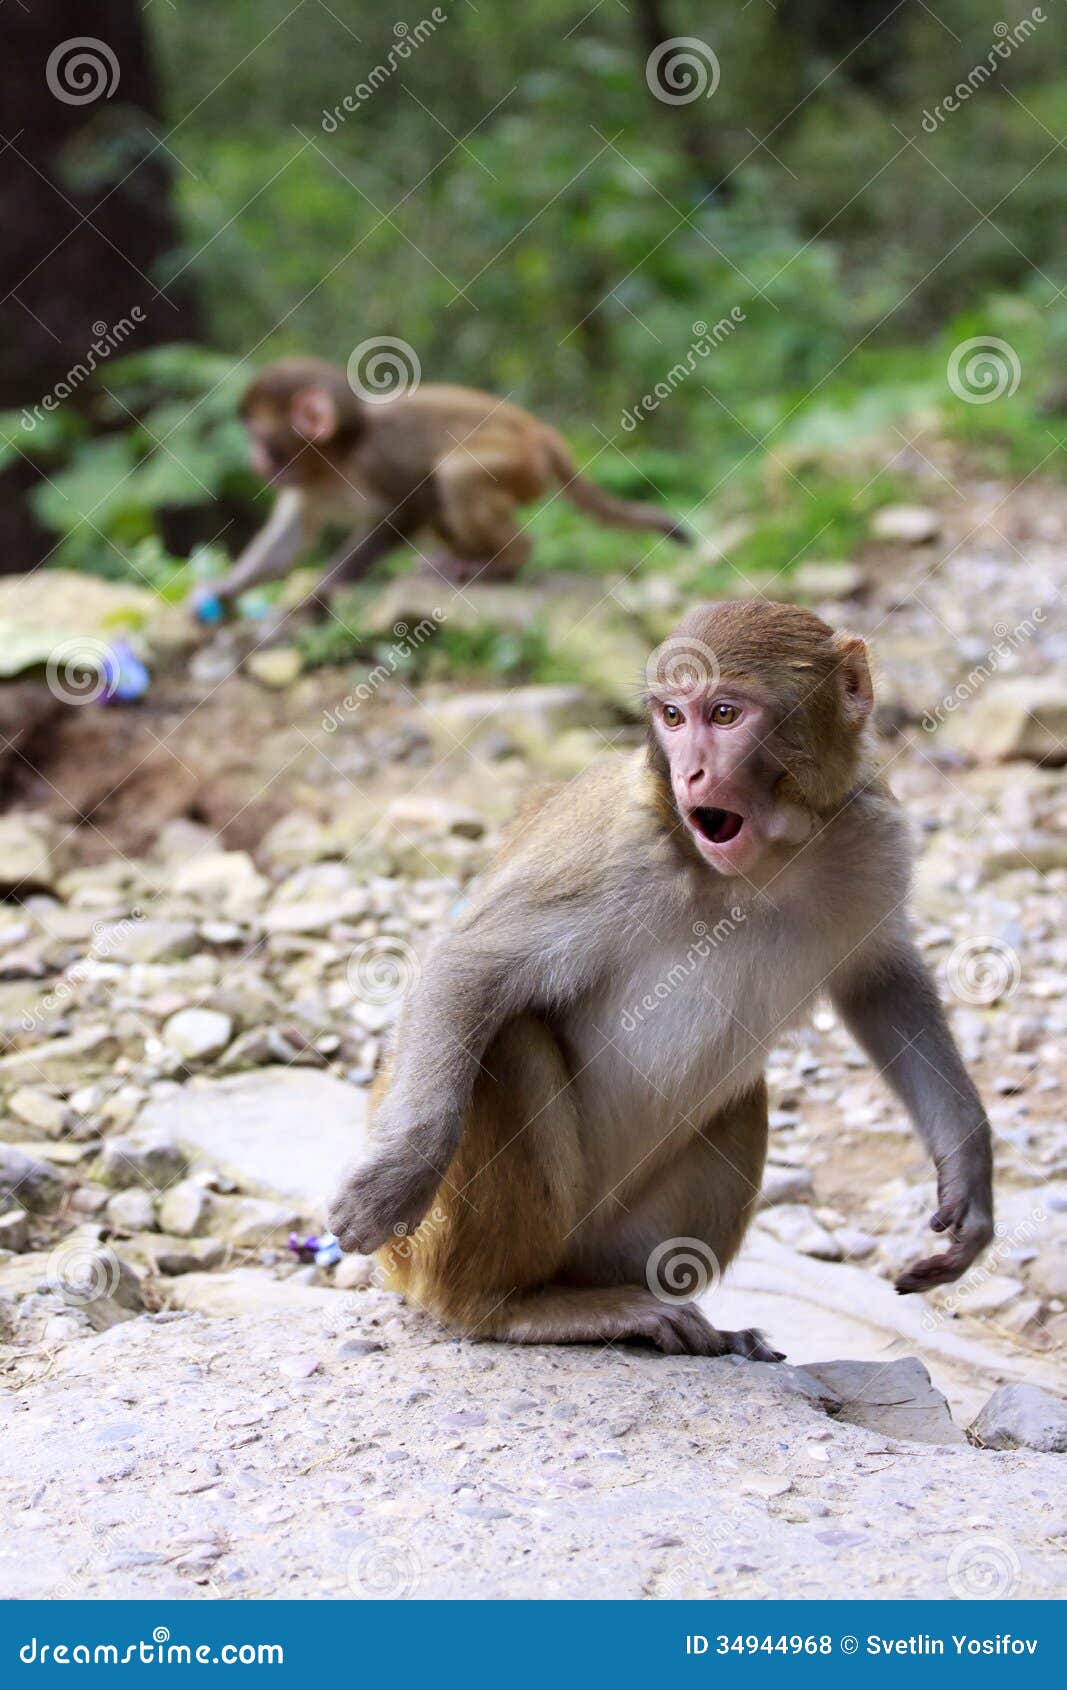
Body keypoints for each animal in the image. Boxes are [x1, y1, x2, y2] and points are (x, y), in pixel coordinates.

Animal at [192, 357, 692, 624]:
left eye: (258, 438)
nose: (254, 461)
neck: (337, 456)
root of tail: (540, 431)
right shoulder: (304, 481)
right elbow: (289, 539)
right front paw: (224, 590)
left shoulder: (377, 459)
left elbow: (407, 509)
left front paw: (318, 596)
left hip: (522, 464)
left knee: (453, 475)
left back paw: (506, 560)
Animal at [329, 599, 994, 1358]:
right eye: (673, 717)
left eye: (725, 713)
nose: (692, 776)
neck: (765, 863)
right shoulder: (614, 855)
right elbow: (467, 968)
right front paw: (397, 1176)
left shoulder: (871, 834)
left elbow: (881, 982)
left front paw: (968, 1169)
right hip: (429, 1254)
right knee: (509, 1042)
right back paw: (505, 1308)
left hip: (614, 1241)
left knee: (741, 1103)